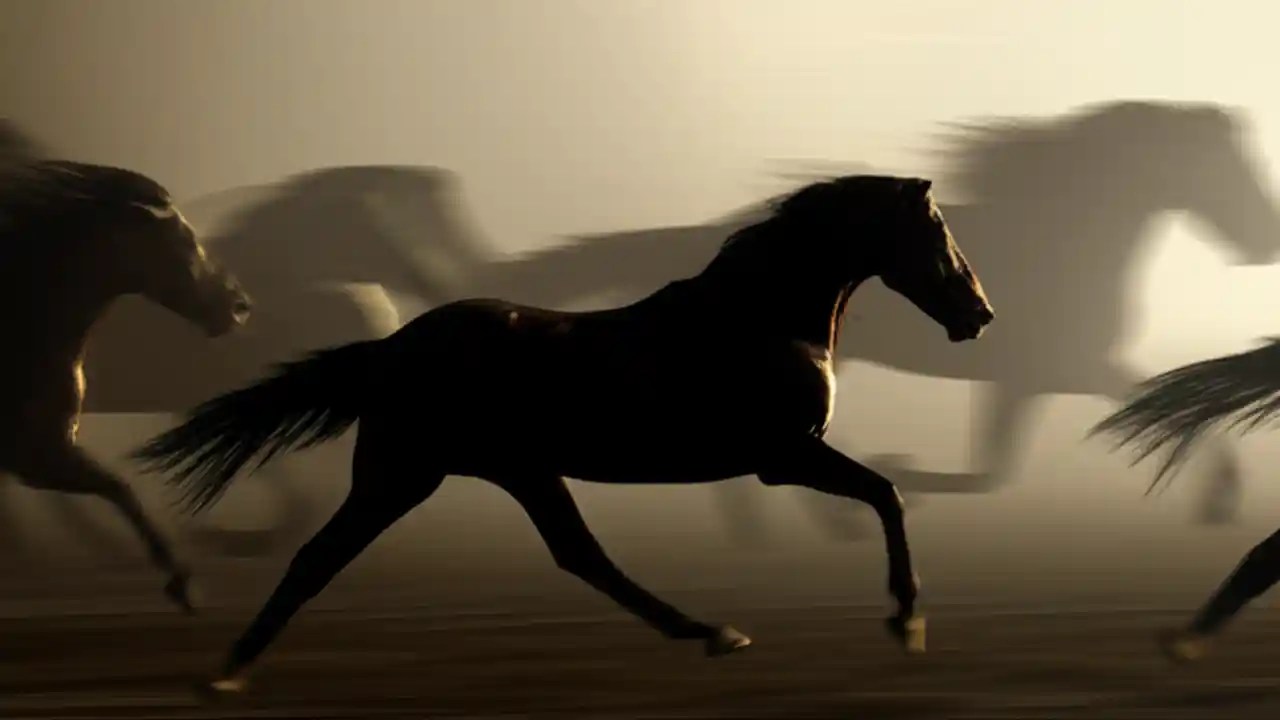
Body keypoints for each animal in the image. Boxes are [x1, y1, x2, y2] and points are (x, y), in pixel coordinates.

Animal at [131, 175, 994, 694]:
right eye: (936, 231)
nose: (979, 314)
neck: (761, 319)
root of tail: (390, 348)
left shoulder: (783, 458)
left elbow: (880, 493)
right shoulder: (783, 455)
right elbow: (886, 494)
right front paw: (906, 619)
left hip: (513, 470)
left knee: (580, 557)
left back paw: (712, 633)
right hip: (405, 473)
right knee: (318, 557)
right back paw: (226, 671)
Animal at [454, 101, 1280, 542]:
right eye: (1223, 164)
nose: (1259, 242)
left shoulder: (1026, 382)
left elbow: (1003, 464)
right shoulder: (1052, 370)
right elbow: (1151, 401)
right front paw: (1222, 497)